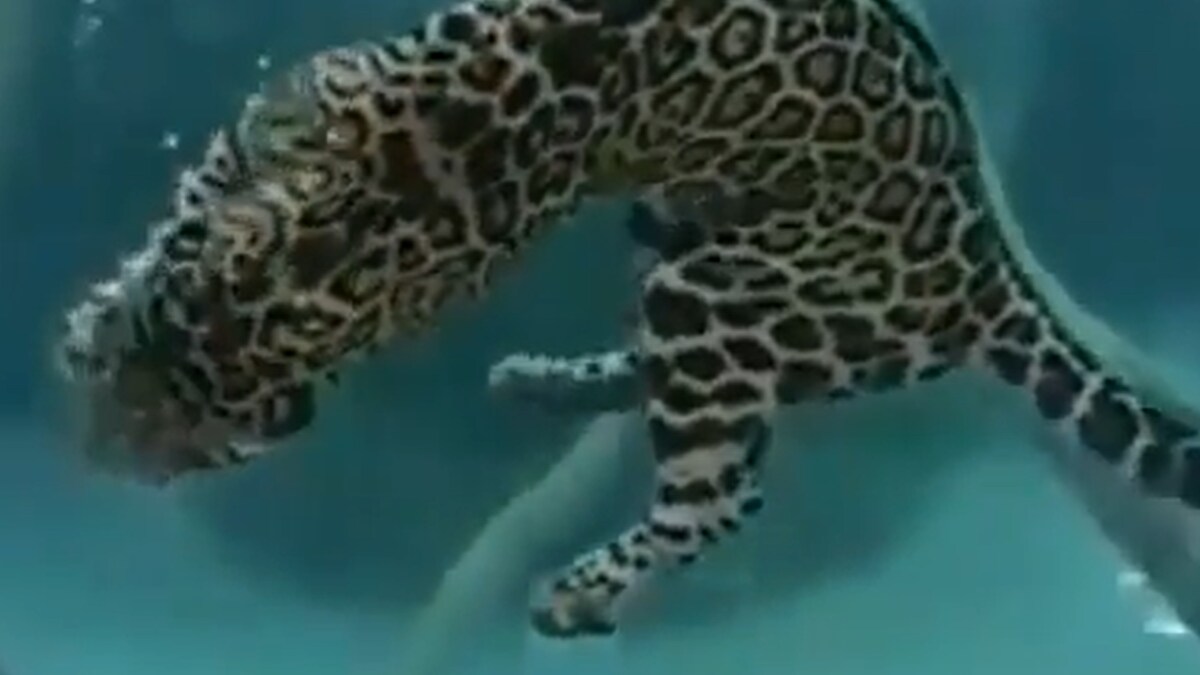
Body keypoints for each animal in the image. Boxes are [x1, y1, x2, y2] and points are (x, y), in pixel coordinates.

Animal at [54, 0, 1200, 640]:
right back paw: (532, 381)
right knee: (713, 408)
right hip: (683, 238)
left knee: (723, 490)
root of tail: (983, 272)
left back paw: (574, 593)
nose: (93, 455)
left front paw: (97, 306)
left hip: (714, 291)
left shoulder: (295, 110)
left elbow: (195, 199)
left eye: (181, 460)